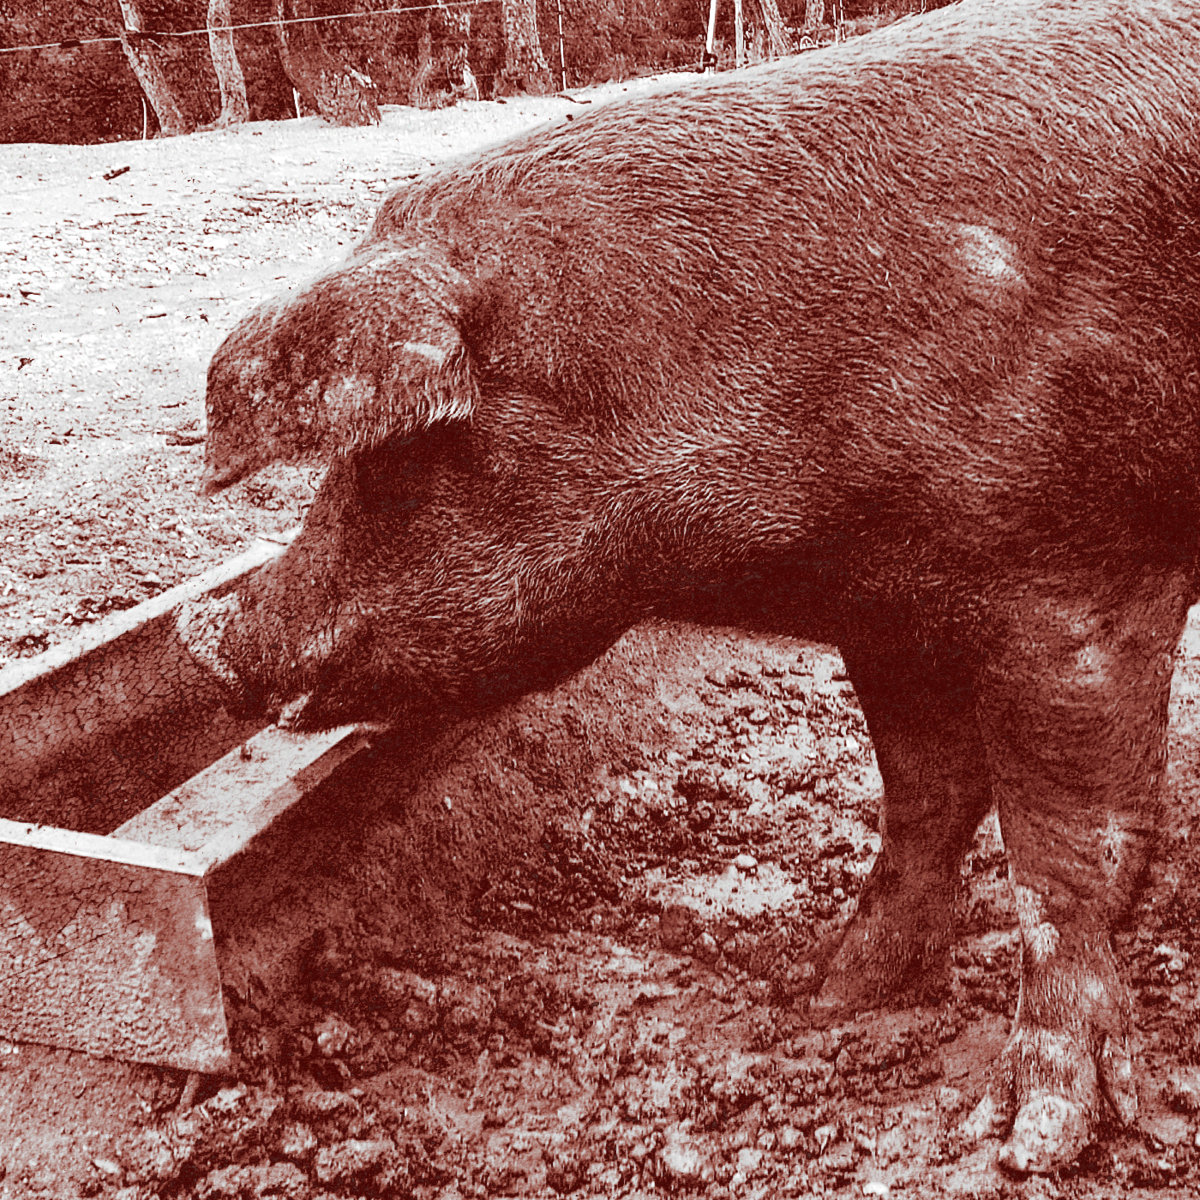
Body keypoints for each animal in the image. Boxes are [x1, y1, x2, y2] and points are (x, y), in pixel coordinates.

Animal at [177, 0, 1200, 1174]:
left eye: (395, 460)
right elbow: (924, 793)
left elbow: (1068, 852)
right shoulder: (889, 605)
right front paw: (822, 997)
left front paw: (1033, 1140)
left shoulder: (1079, 577)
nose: (208, 640)